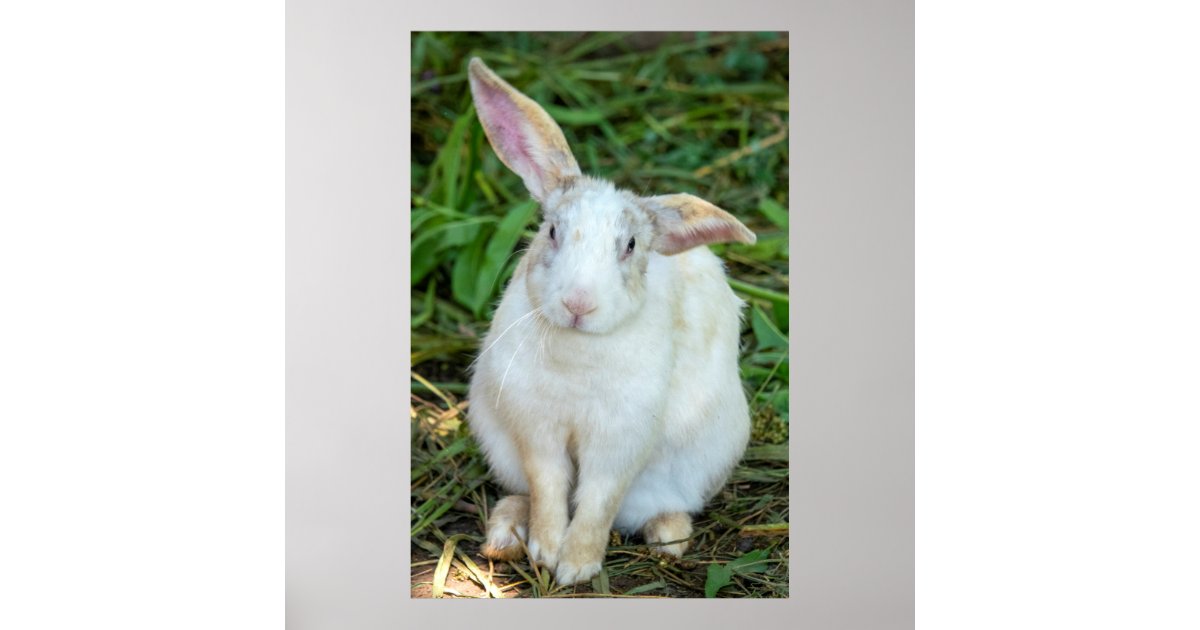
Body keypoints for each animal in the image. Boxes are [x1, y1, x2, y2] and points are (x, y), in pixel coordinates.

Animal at [464, 57, 756, 585]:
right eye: (552, 231)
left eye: (631, 246)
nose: (579, 303)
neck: (578, 349)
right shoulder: (537, 431)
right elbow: (549, 486)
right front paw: (545, 550)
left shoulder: (620, 441)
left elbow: (598, 501)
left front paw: (576, 567)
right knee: (523, 493)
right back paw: (505, 537)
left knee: (652, 509)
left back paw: (669, 539)